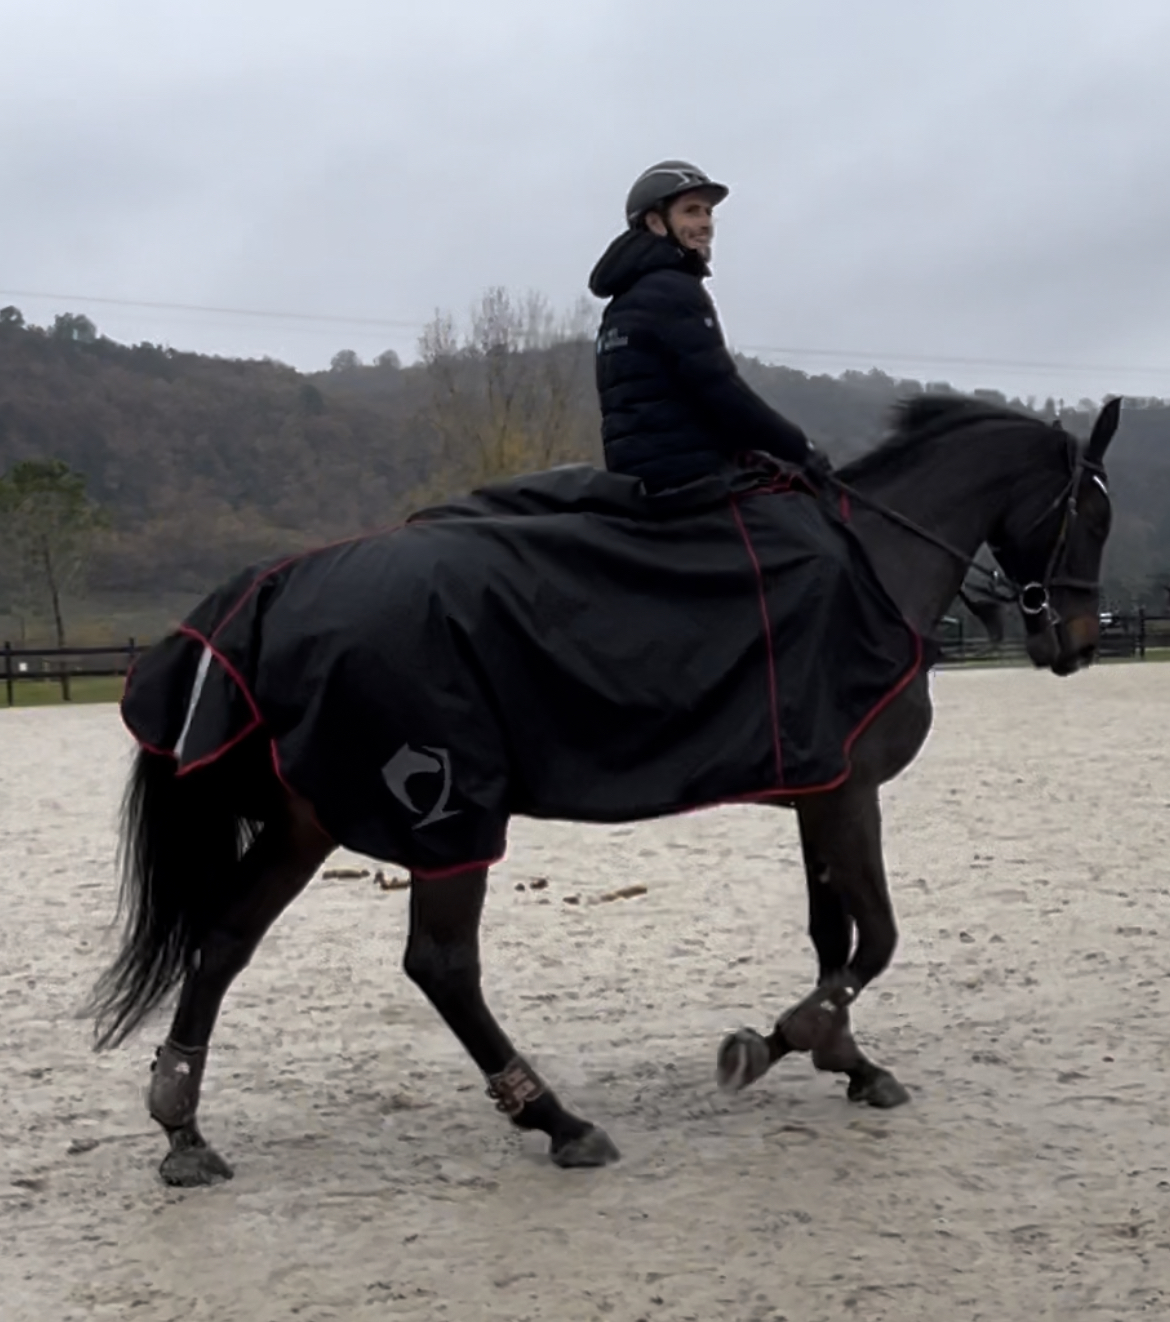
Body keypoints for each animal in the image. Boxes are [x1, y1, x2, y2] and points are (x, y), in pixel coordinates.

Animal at [84, 393, 1121, 1186]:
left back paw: (182, 1127)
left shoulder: (820, 791)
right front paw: (786, 1041)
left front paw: (844, 1057)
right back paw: (556, 1120)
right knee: (440, 966)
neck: (872, 562)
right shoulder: (847, 794)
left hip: (311, 819)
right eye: (1096, 517)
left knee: (225, 941)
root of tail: (271, 587)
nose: (1075, 644)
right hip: (448, 816)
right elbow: (877, 938)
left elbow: (834, 938)